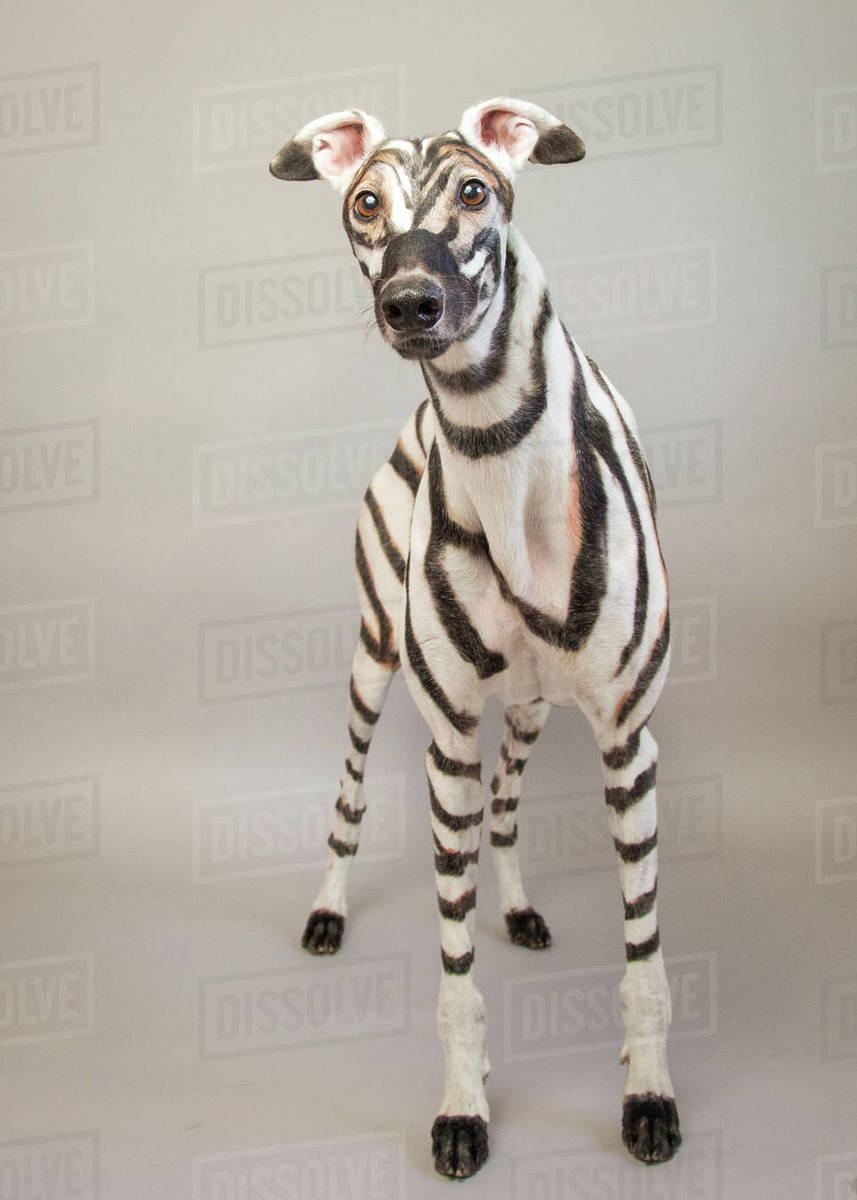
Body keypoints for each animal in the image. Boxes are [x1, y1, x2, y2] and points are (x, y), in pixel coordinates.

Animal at [270, 97, 681, 1179]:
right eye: (365, 203)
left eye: (473, 190)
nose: (411, 305)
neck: (499, 457)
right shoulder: (445, 744)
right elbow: (455, 985)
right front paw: (463, 1108)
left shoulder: (627, 743)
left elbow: (644, 963)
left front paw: (647, 1095)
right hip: (373, 672)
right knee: (349, 804)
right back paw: (329, 911)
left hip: (533, 710)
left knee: (506, 808)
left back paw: (518, 906)